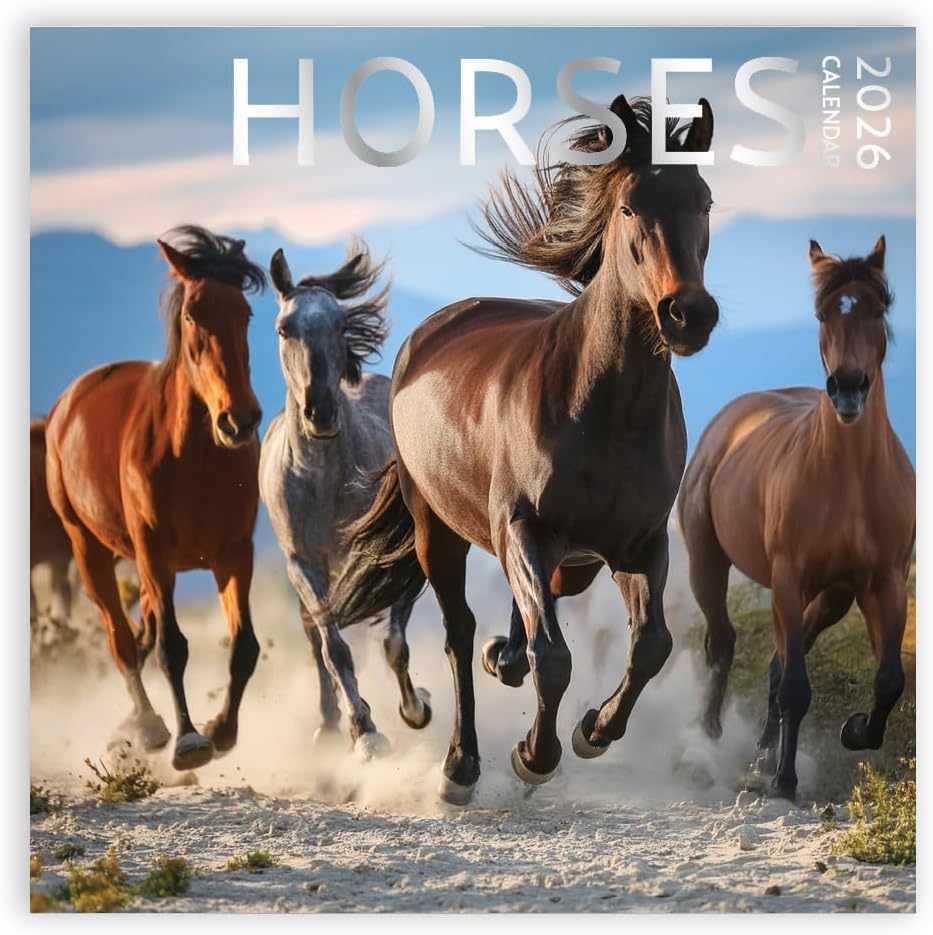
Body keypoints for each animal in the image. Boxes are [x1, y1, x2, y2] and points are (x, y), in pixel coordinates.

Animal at [45, 225, 266, 771]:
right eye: (191, 315)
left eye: (245, 313)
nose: (240, 420)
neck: (197, 458)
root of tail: (67, 402)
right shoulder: (154, 552)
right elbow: (170, 647)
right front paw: (188, 739)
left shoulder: (234, 554)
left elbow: (244, 647)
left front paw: (222, 729)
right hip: (89, 548)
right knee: (122, 641)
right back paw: (146, 726)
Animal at [259, 241, 431, 759]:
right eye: (284, 328)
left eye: (338, 325)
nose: (321, 411)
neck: (323, 481)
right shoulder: (303, 563)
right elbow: (332, 646)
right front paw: (364, 729)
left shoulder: (393, 558)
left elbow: (395, 642)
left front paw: (415, 708)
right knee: (315, 637)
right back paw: (329, 724)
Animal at [326, 94, 719, 804]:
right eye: (629, 208)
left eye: (703, 202)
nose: (688, 314)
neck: (606, 413)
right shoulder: (525, 529)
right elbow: (553, 656)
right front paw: (535, 754)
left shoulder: (640, 541)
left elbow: (651, 644)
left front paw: (594, 730)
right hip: (437, 530)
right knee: (459, 635)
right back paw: (460, 764)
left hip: (573, 560)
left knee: (531, 614)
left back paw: (503, 661)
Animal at [678, 236, 915, 798]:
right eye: (824, 312)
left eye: (878, 309)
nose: (848, 387)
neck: (851, 483)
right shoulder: (788, 577)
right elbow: (794, 688)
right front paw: (784, 781)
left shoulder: (885, 582)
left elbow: (889, 680)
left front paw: (855, 731)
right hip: (707, 563)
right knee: (723, 644)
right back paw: (712, 738)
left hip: (831, 597)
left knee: (778, 659)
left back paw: (761, 753)